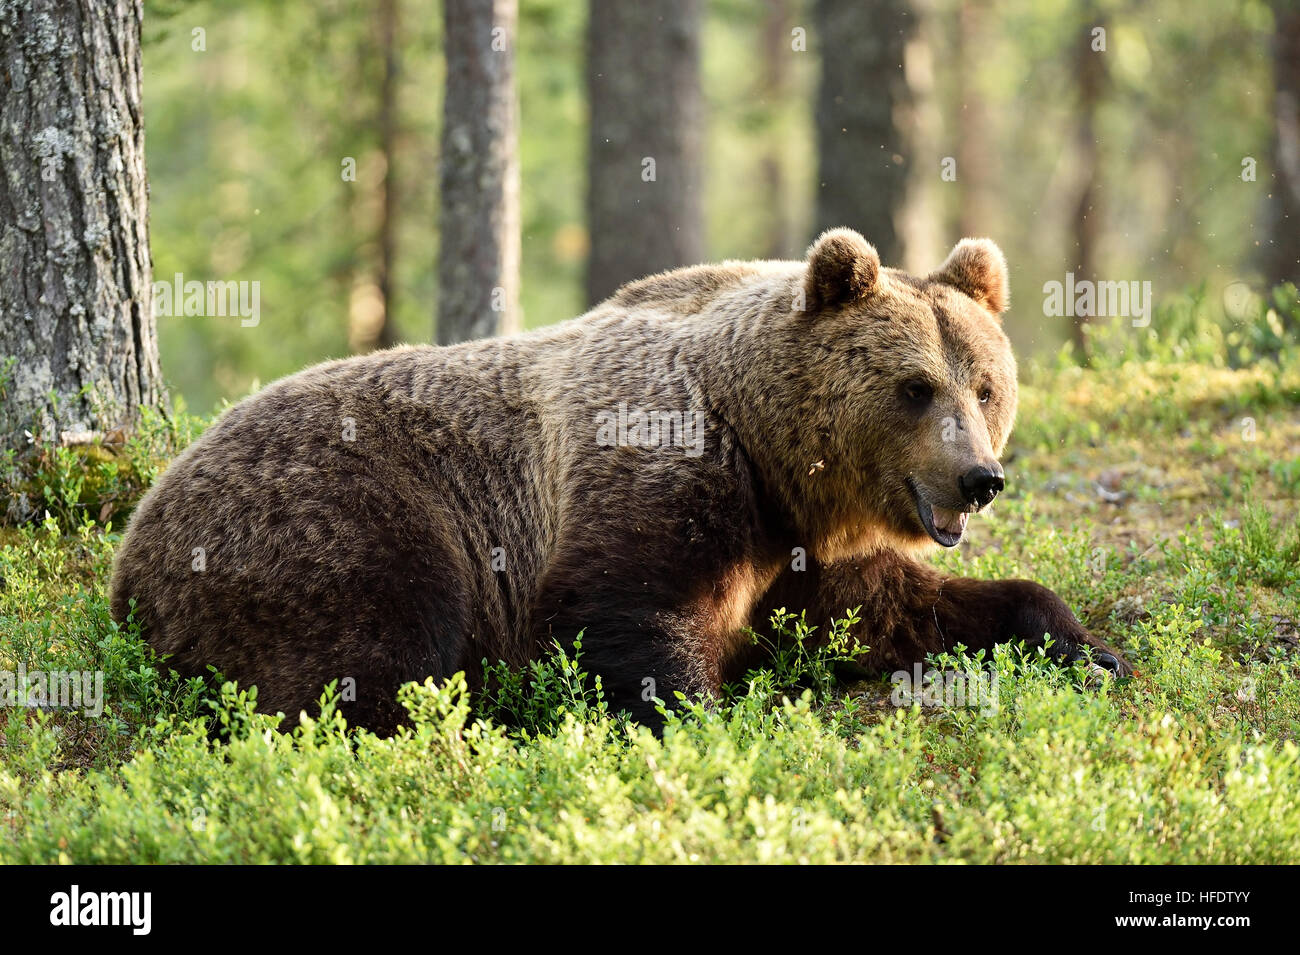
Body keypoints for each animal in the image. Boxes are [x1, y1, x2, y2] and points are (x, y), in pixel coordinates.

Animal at [109, 229, 1130, 734]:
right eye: (915, 386)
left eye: (985, 384)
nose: (979, 478)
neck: (769, 454)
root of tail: (137, 537)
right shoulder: (656, 478)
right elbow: (627, 618)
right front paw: (702, 717)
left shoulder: (797, 552)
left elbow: (894, 606)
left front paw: (1088, 645)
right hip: (341, 513)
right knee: (366, 651)